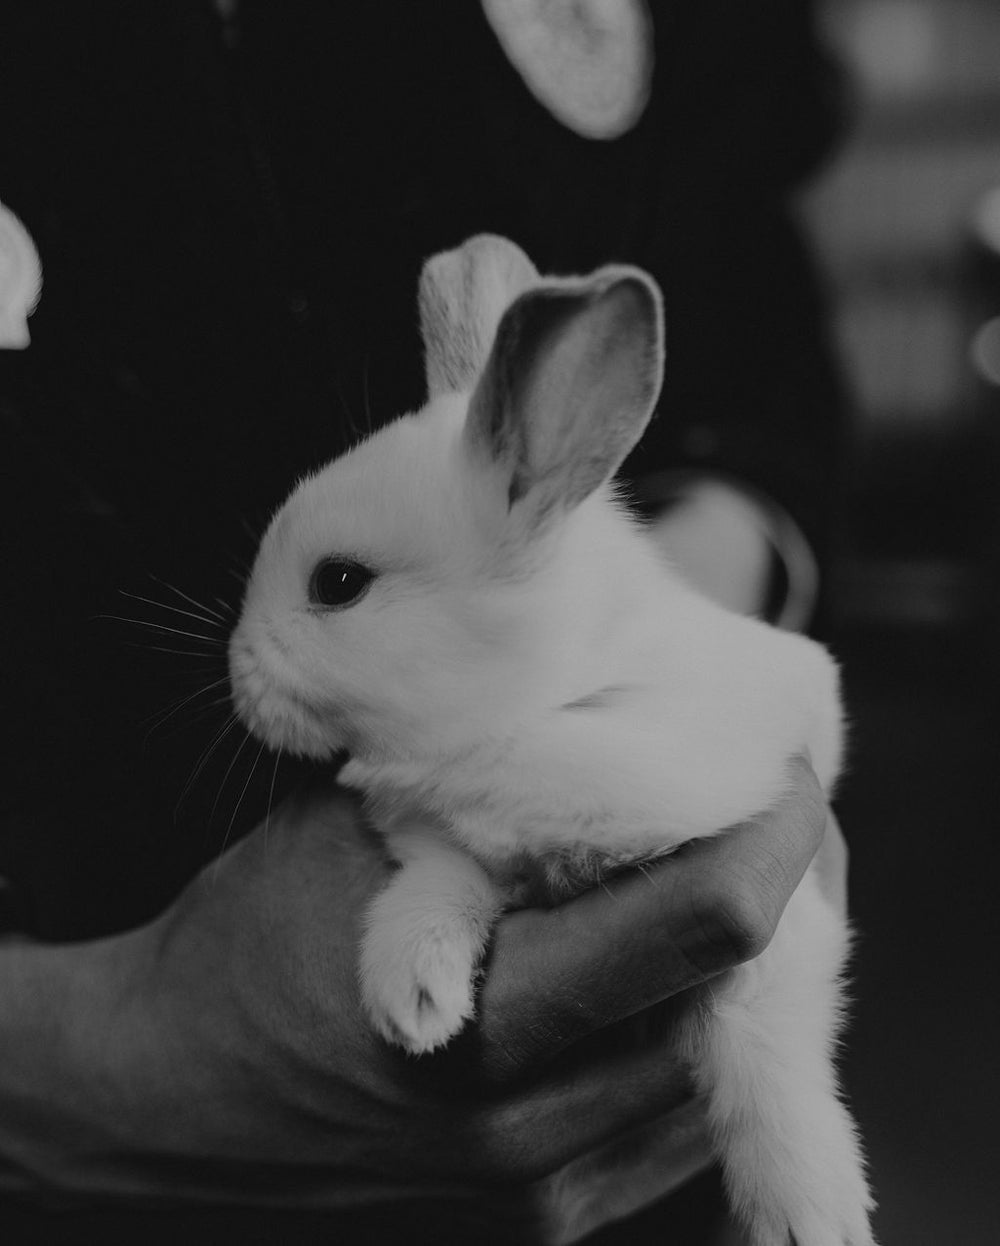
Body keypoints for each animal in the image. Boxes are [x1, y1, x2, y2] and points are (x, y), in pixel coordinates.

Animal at [229, 234, 874, 1246]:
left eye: (337, 583)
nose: (237, 677)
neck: (537, 710)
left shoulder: (762, 878)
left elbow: (758, 1045)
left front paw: (808, 1211)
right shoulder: (448, 844)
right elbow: (438, 888)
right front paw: (414, 999)